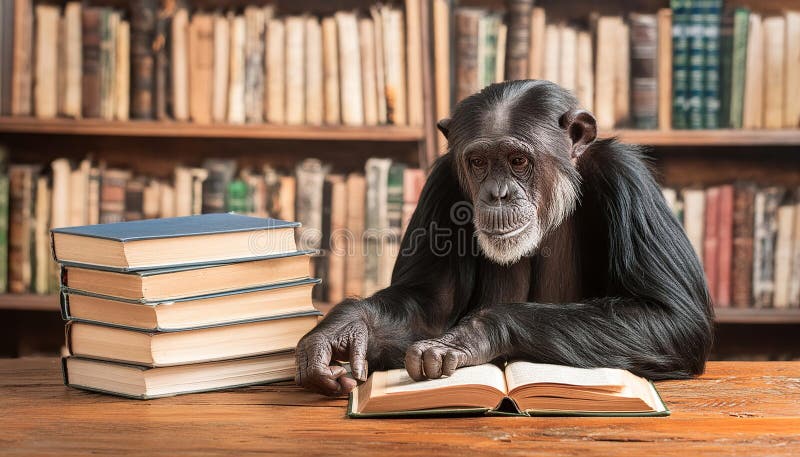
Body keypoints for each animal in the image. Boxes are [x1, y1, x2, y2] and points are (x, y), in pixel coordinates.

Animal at [295, 80, 714, 396]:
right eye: (479, 162)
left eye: (518, 160)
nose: (497, 194)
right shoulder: (441, 183)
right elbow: (431, 305)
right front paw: (342, 329)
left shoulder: (628, 179)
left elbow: (671, 315)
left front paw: (471, 336)